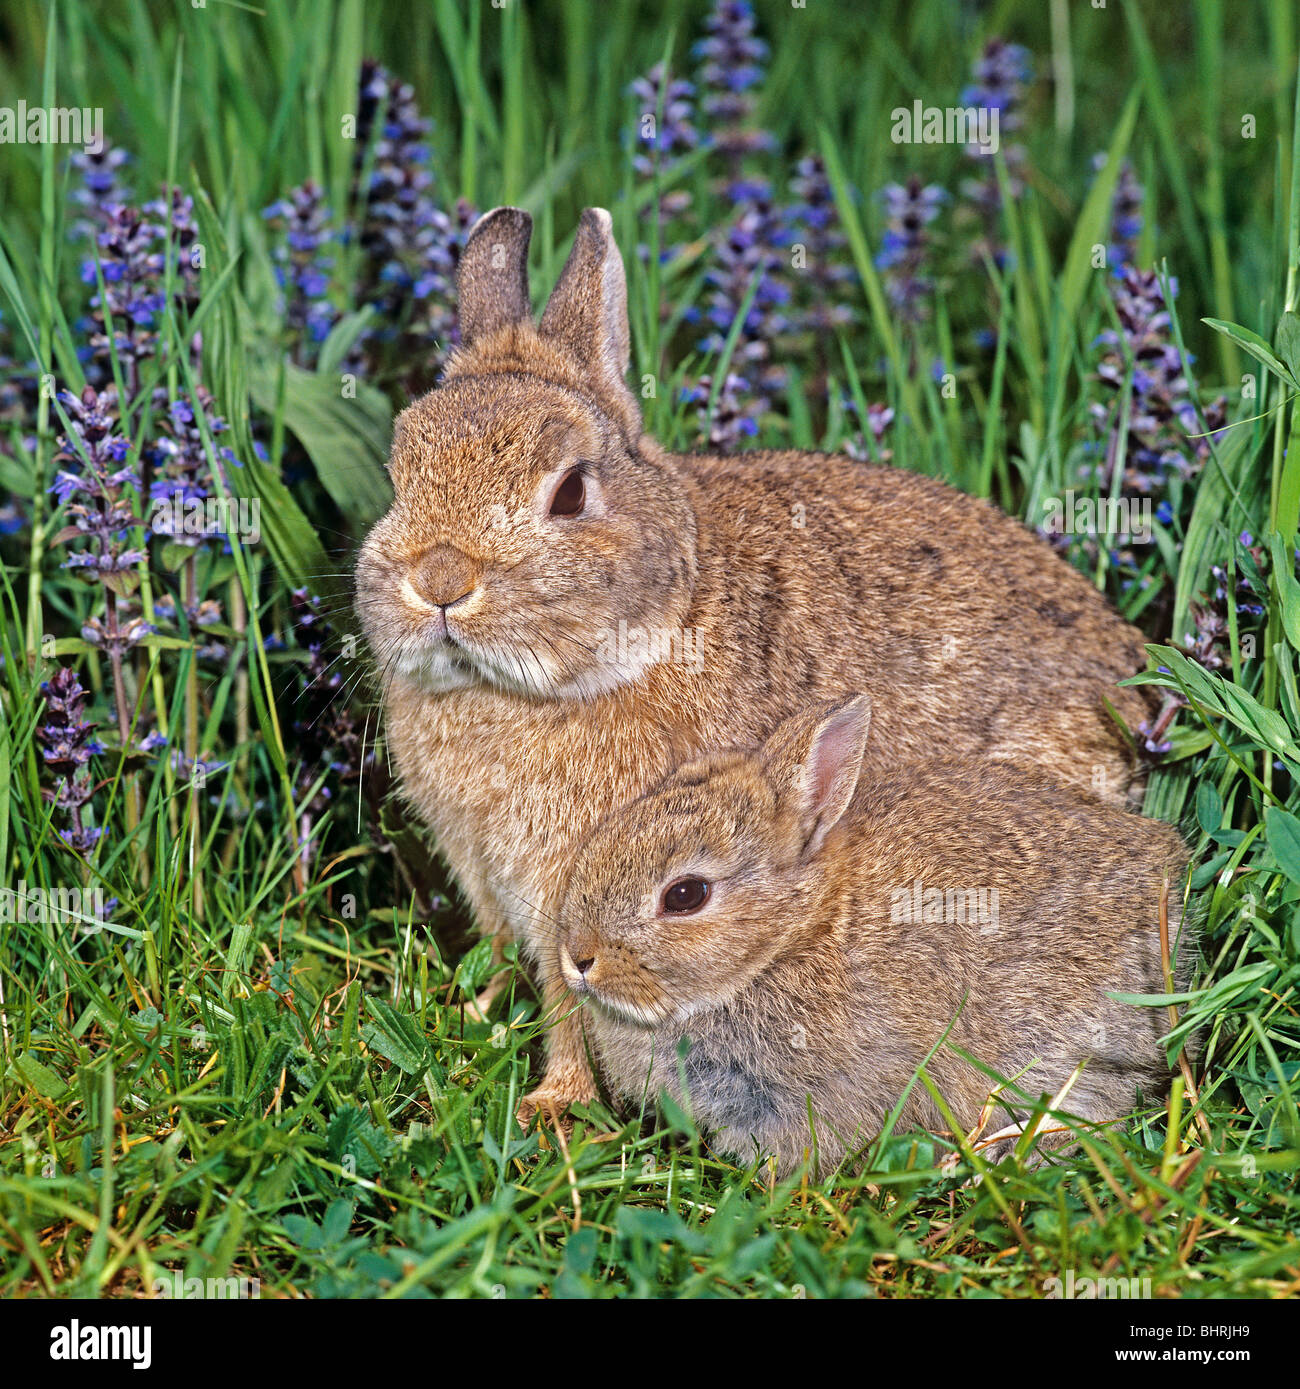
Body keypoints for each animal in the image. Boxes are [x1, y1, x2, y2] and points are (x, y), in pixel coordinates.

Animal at [354, 205, 1159, 1123]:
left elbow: (570, 1001)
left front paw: (554, 1105)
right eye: (399, 473)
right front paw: (471, 1016)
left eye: (569, 492)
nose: (439, 579)